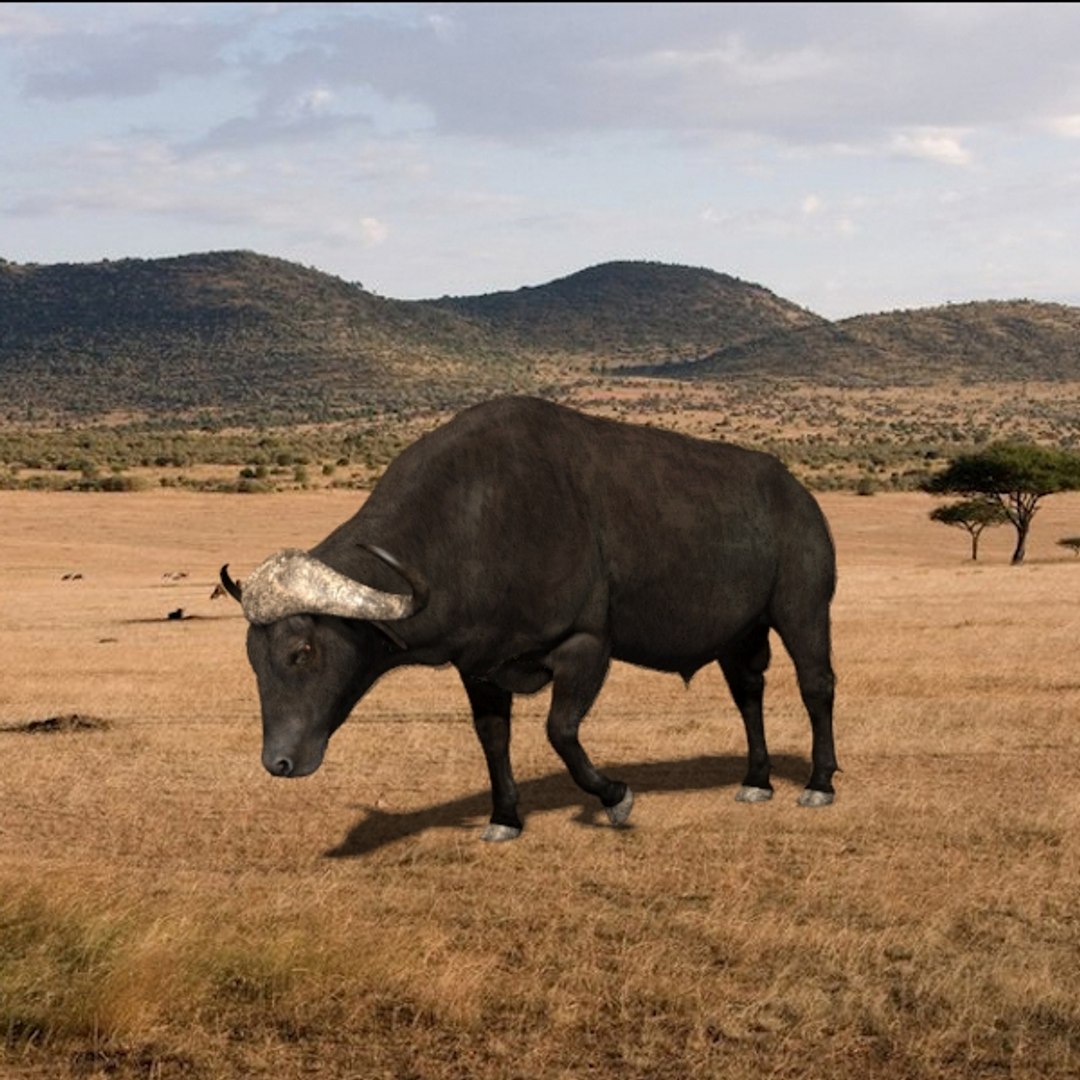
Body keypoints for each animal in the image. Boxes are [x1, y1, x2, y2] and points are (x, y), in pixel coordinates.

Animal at [222, 396, 838, 840]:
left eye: (302, 651)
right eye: (252, 658)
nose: (277, 761)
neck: (474, 522)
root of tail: (797, 492)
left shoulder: (586, 645)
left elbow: (560, 731)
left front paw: (615, 797)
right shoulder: (480, 666)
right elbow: (494, 739)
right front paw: (504, 818)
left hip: (803, 611)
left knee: (817, 686)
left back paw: (818, 782)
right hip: (740, 634)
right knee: (749, 692)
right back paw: (756, 781)